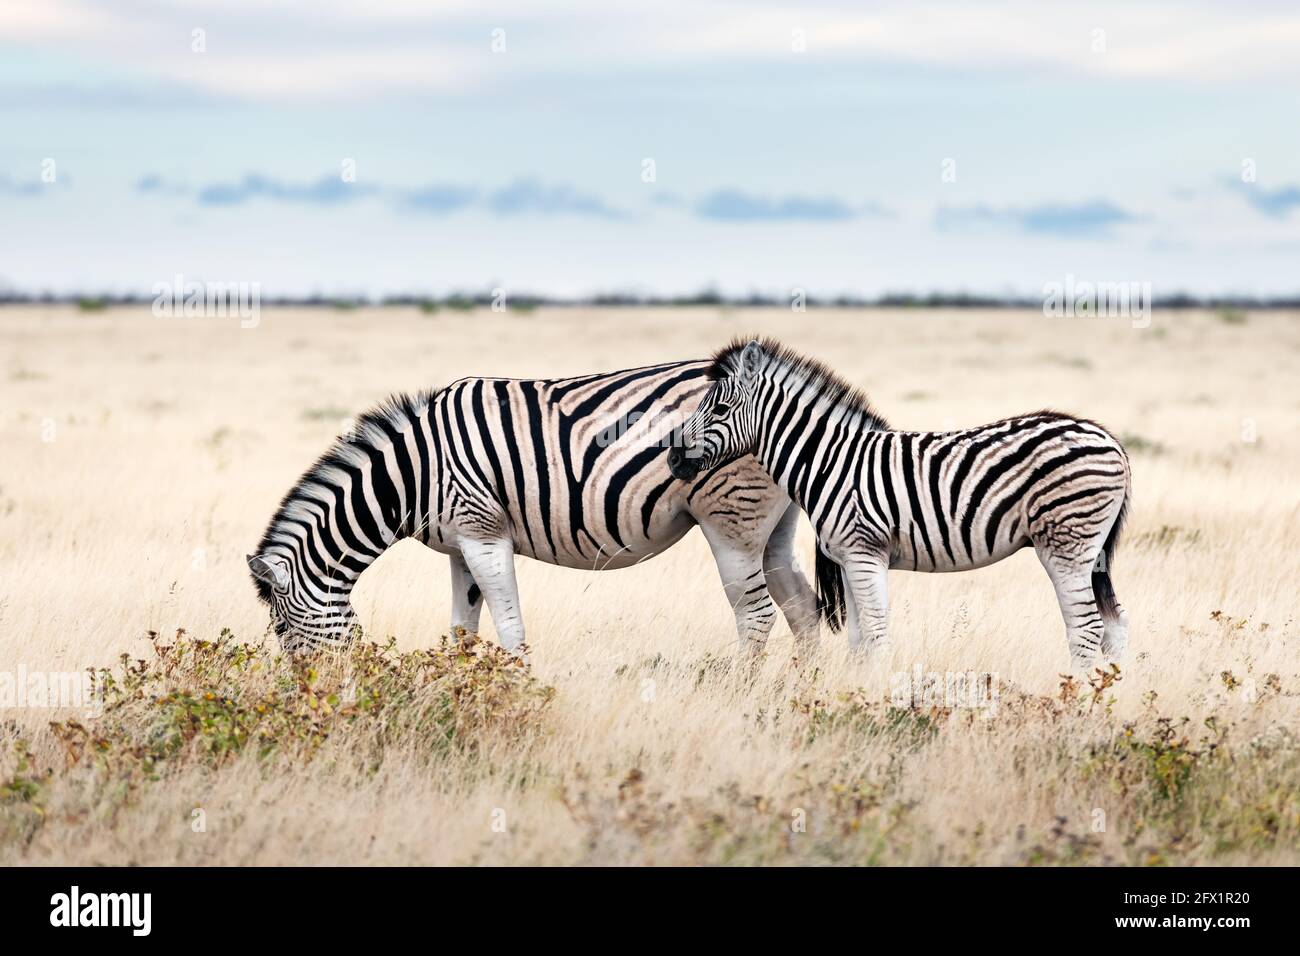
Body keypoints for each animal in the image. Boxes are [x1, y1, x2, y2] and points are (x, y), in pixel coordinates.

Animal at [247, 359, 837, 655]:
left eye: (284, 634)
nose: (314, 697)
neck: (416, 471)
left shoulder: (484, 530)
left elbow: (509, 627)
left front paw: (510, 691)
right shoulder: (460, 545)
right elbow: (463, 630)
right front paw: (462, 689)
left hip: (729, 519)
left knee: (756, 614)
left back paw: (744, 695)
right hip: (773, 526)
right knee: (800, 608)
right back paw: (799, 699)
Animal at [667, 339, 1132, 668]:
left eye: (720, 408)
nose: (672, 459)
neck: (829, 460)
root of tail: (1109, 438)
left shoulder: (863, 552)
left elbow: (875, 637)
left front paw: (870, 703)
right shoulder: (849, 558)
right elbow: (858, 641)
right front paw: (854, 697)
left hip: (1066, 543)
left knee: (1086, 628)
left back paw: (1075, 700)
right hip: (1092, 554)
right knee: (1115, 626)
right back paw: (1108, 697)